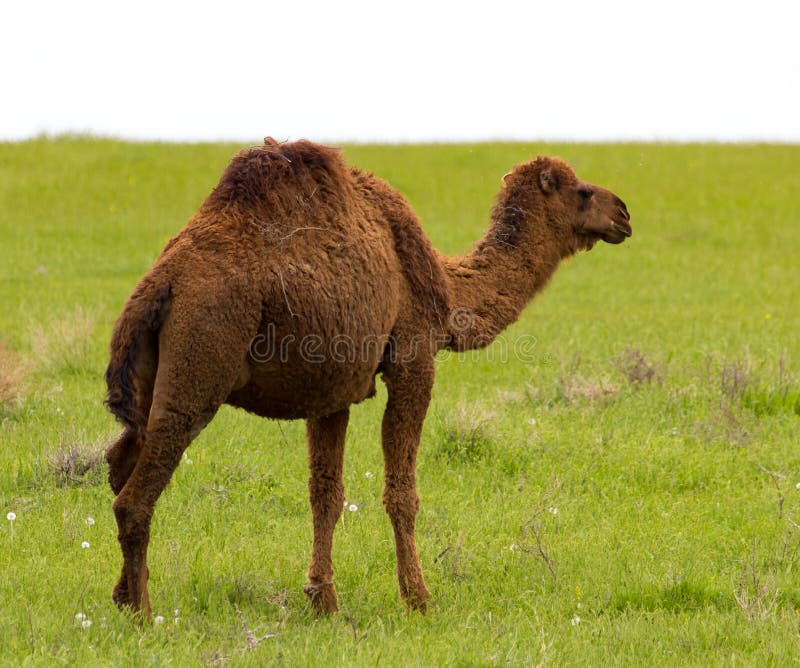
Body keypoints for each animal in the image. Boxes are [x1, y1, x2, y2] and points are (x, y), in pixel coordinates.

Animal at [105, 138, 632, 617]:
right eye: (582, 191)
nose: (624, 213)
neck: (446, 287)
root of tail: (160, 284)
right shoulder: (414, 359)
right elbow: (401, 493)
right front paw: (418, 599)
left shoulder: (330, 389)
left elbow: (325, 494)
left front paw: (323, 601)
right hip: (200, 365)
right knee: (136, 495)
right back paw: (144, 615)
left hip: (153, 376)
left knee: (119, 461)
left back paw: (123, 597)